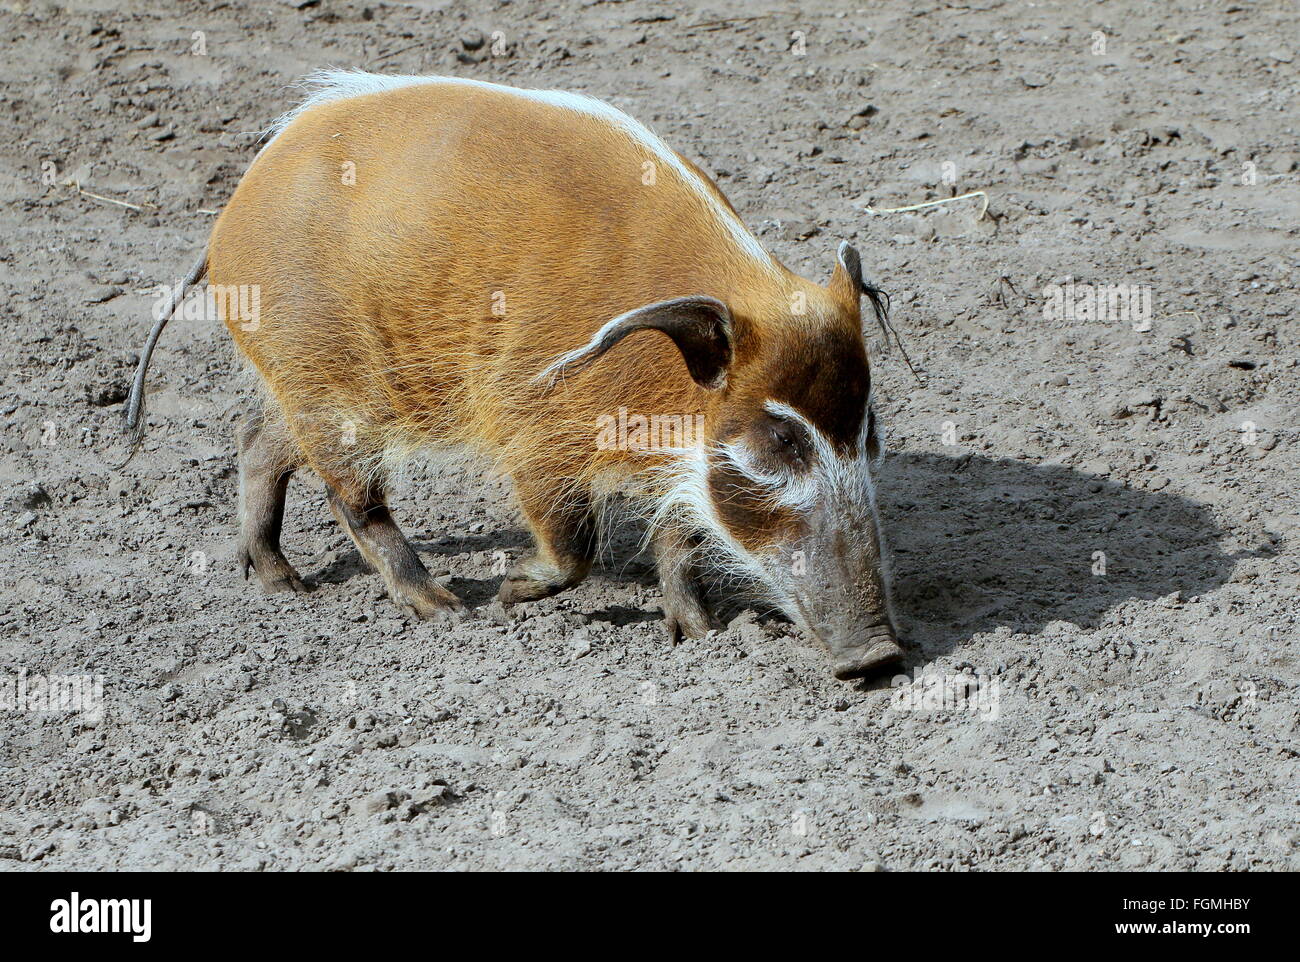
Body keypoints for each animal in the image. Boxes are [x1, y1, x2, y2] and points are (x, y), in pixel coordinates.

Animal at [124, 71, 904, 680]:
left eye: (868, 428)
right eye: (780, 441)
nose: (880, 657)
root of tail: (228, 216)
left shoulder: (677, 453)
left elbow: (679, 536)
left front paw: (699, 634)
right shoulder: (534, 425)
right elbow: (575, 546)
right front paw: (508, 591)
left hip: (314, 386)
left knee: (256, 439)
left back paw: (281, 583)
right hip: (328, 382)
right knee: (352, 496)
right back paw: (441, 606)